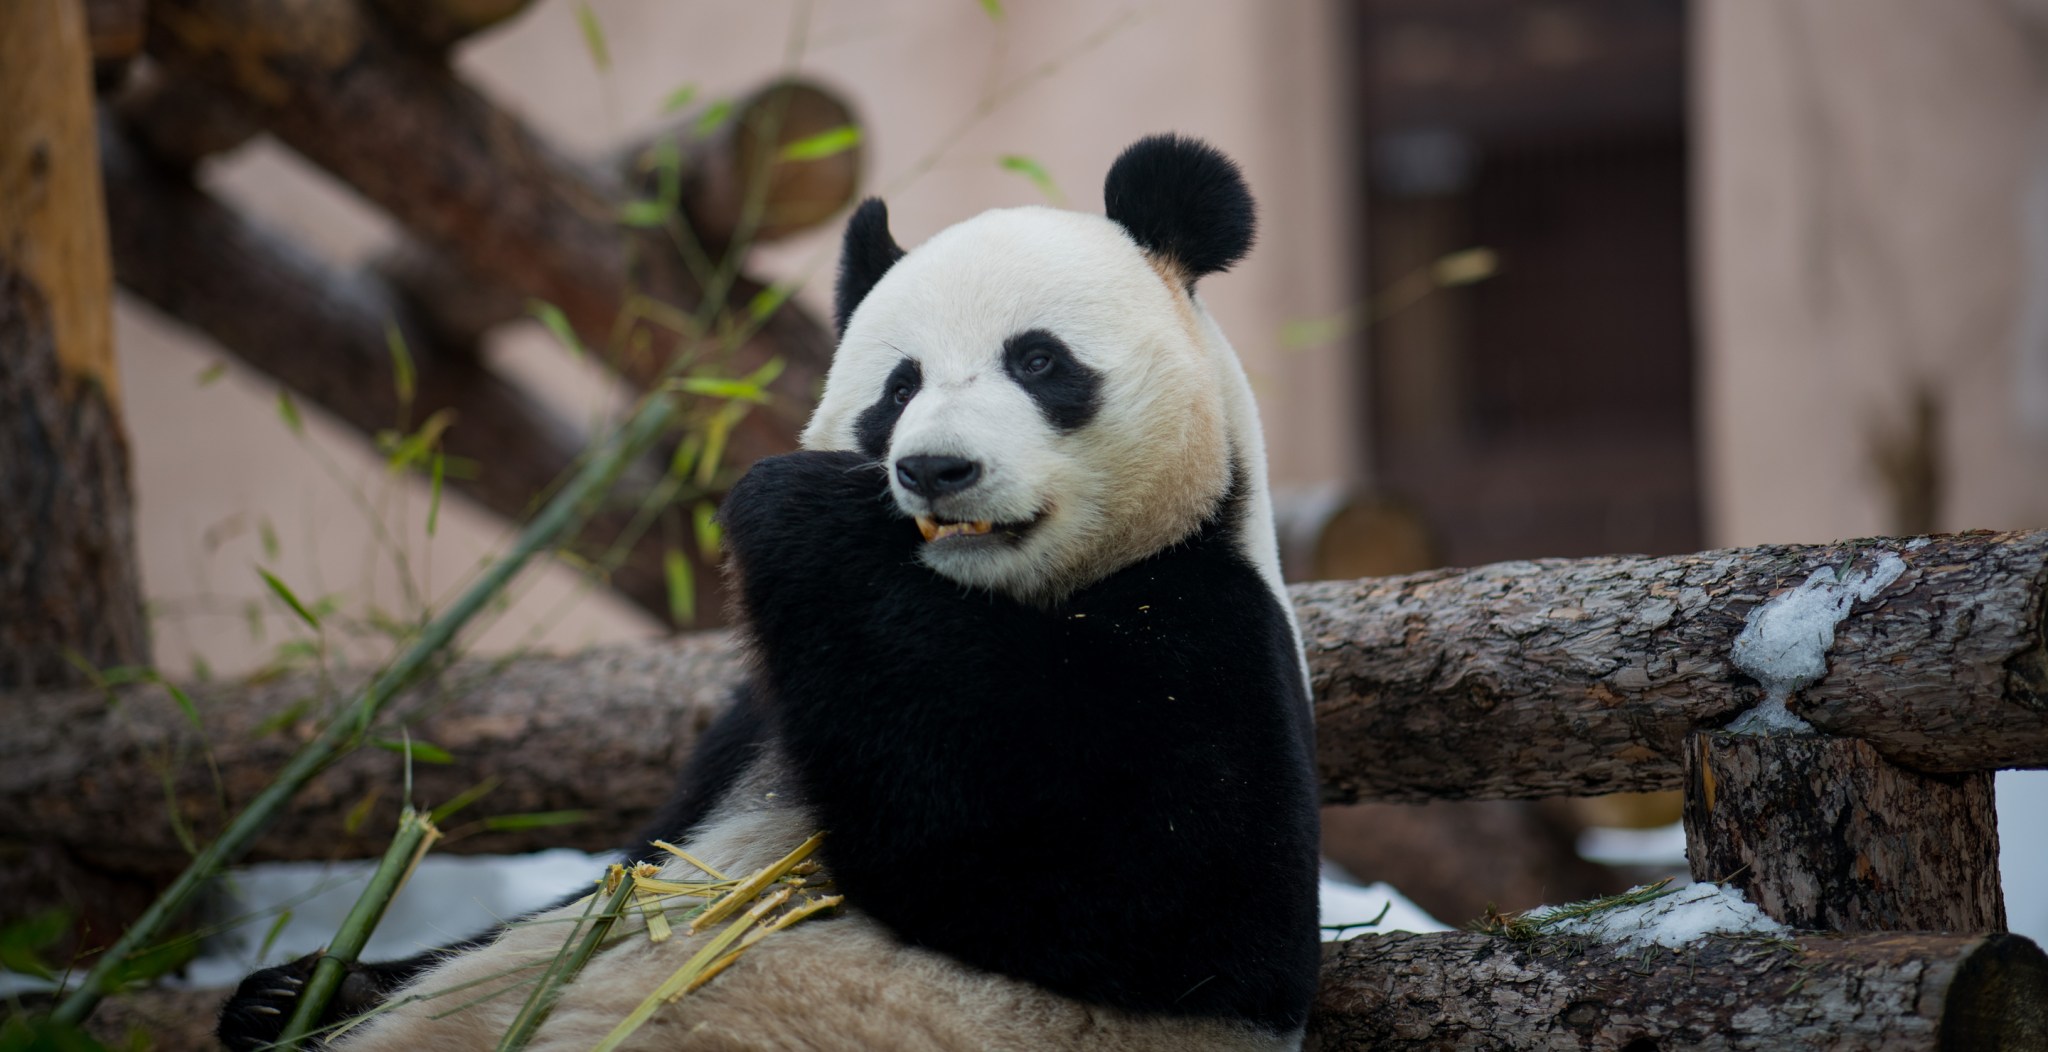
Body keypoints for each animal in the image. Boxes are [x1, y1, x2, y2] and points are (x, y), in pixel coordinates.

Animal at [218, 134, 1321, 1052]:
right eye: (897, 387)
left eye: (1039, 359)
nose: (935, 469)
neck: (985, 600)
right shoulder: (764, 714)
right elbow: (616, 871)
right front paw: (294, 991)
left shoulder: (1204, 629)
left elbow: (1165, 904)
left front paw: (799, 510)